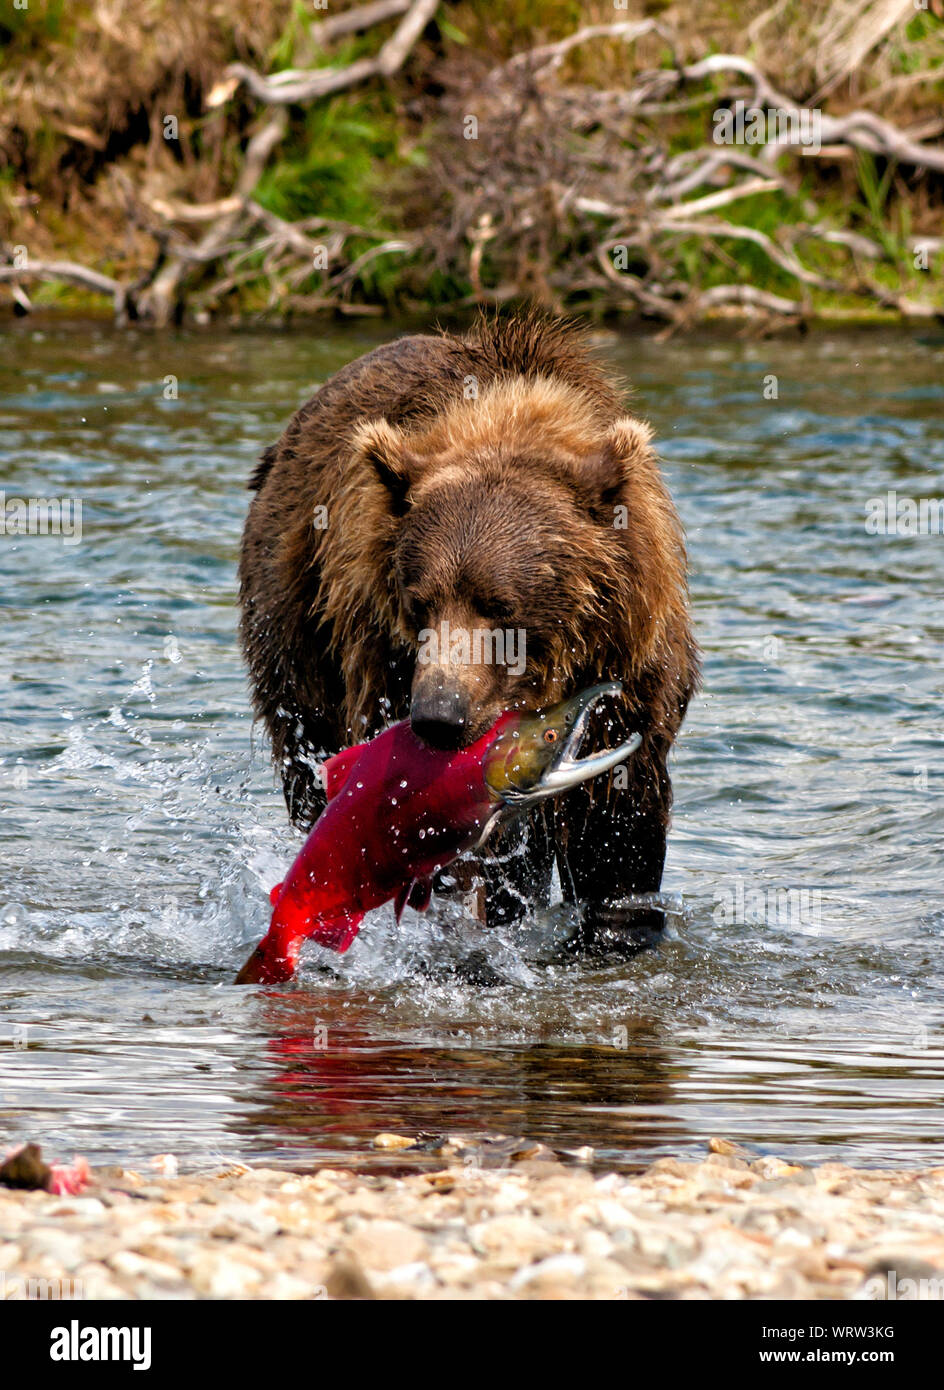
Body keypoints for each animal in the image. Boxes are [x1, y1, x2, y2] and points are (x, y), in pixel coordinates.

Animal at [238, 312, 698, 953]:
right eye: (419, 603)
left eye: (501, 605)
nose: (439, 716)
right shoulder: (381, 659)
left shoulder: (629, 667)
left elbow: (615, 820)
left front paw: (616, 925)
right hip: (294, 635)